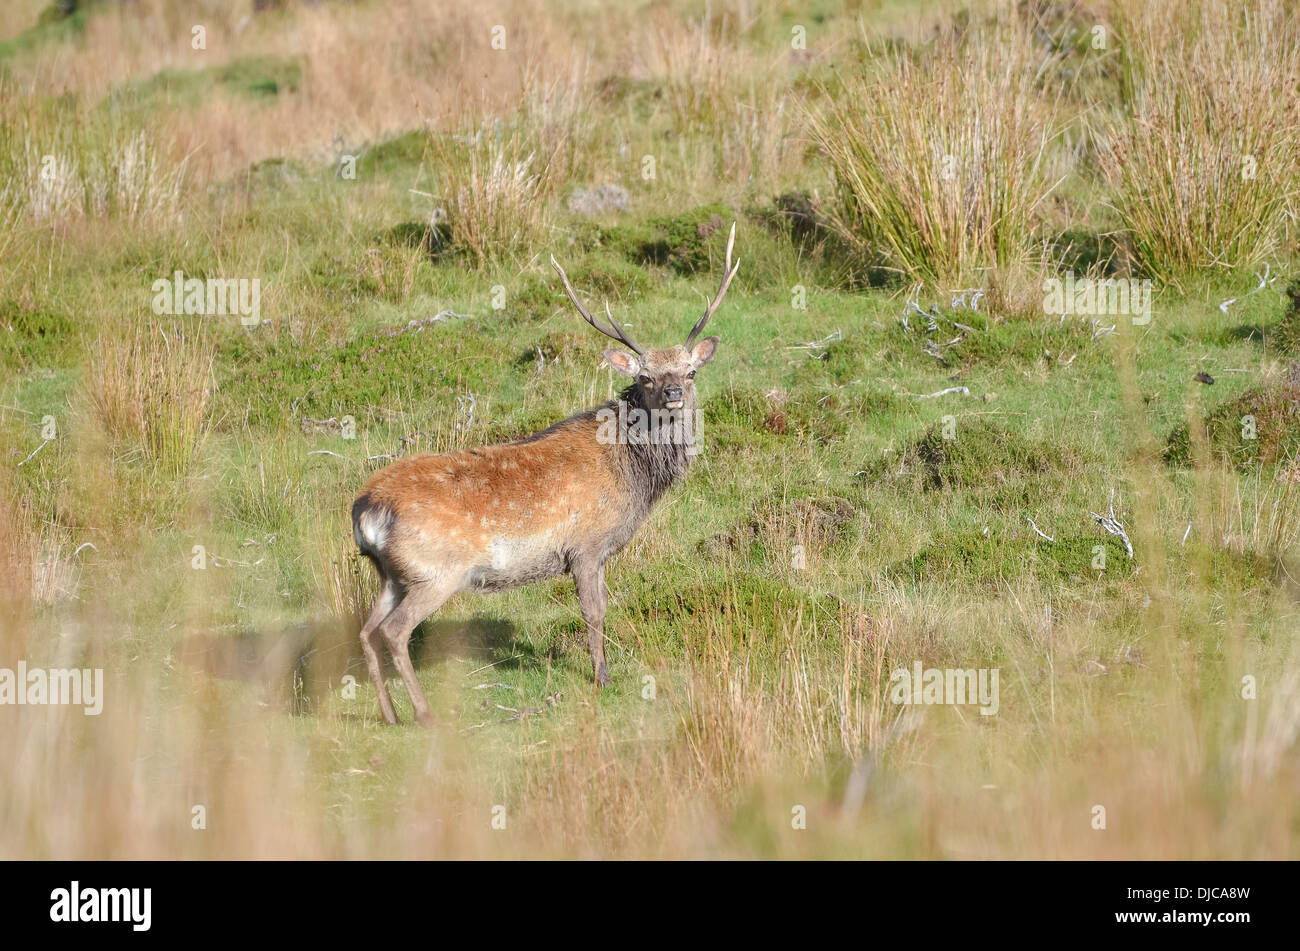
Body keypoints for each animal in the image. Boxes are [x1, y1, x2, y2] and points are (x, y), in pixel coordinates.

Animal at [351, 225, 740, 725]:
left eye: (690, 372)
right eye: (646, 377)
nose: (672, 392)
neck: (633, 480)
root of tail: (366, 510)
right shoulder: (586, 545)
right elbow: (595, 612)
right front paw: (602, 678)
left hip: (390, 573)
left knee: (367, 629)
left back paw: (391, 714)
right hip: (435, 571)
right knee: (395, 631)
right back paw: (423, 714)